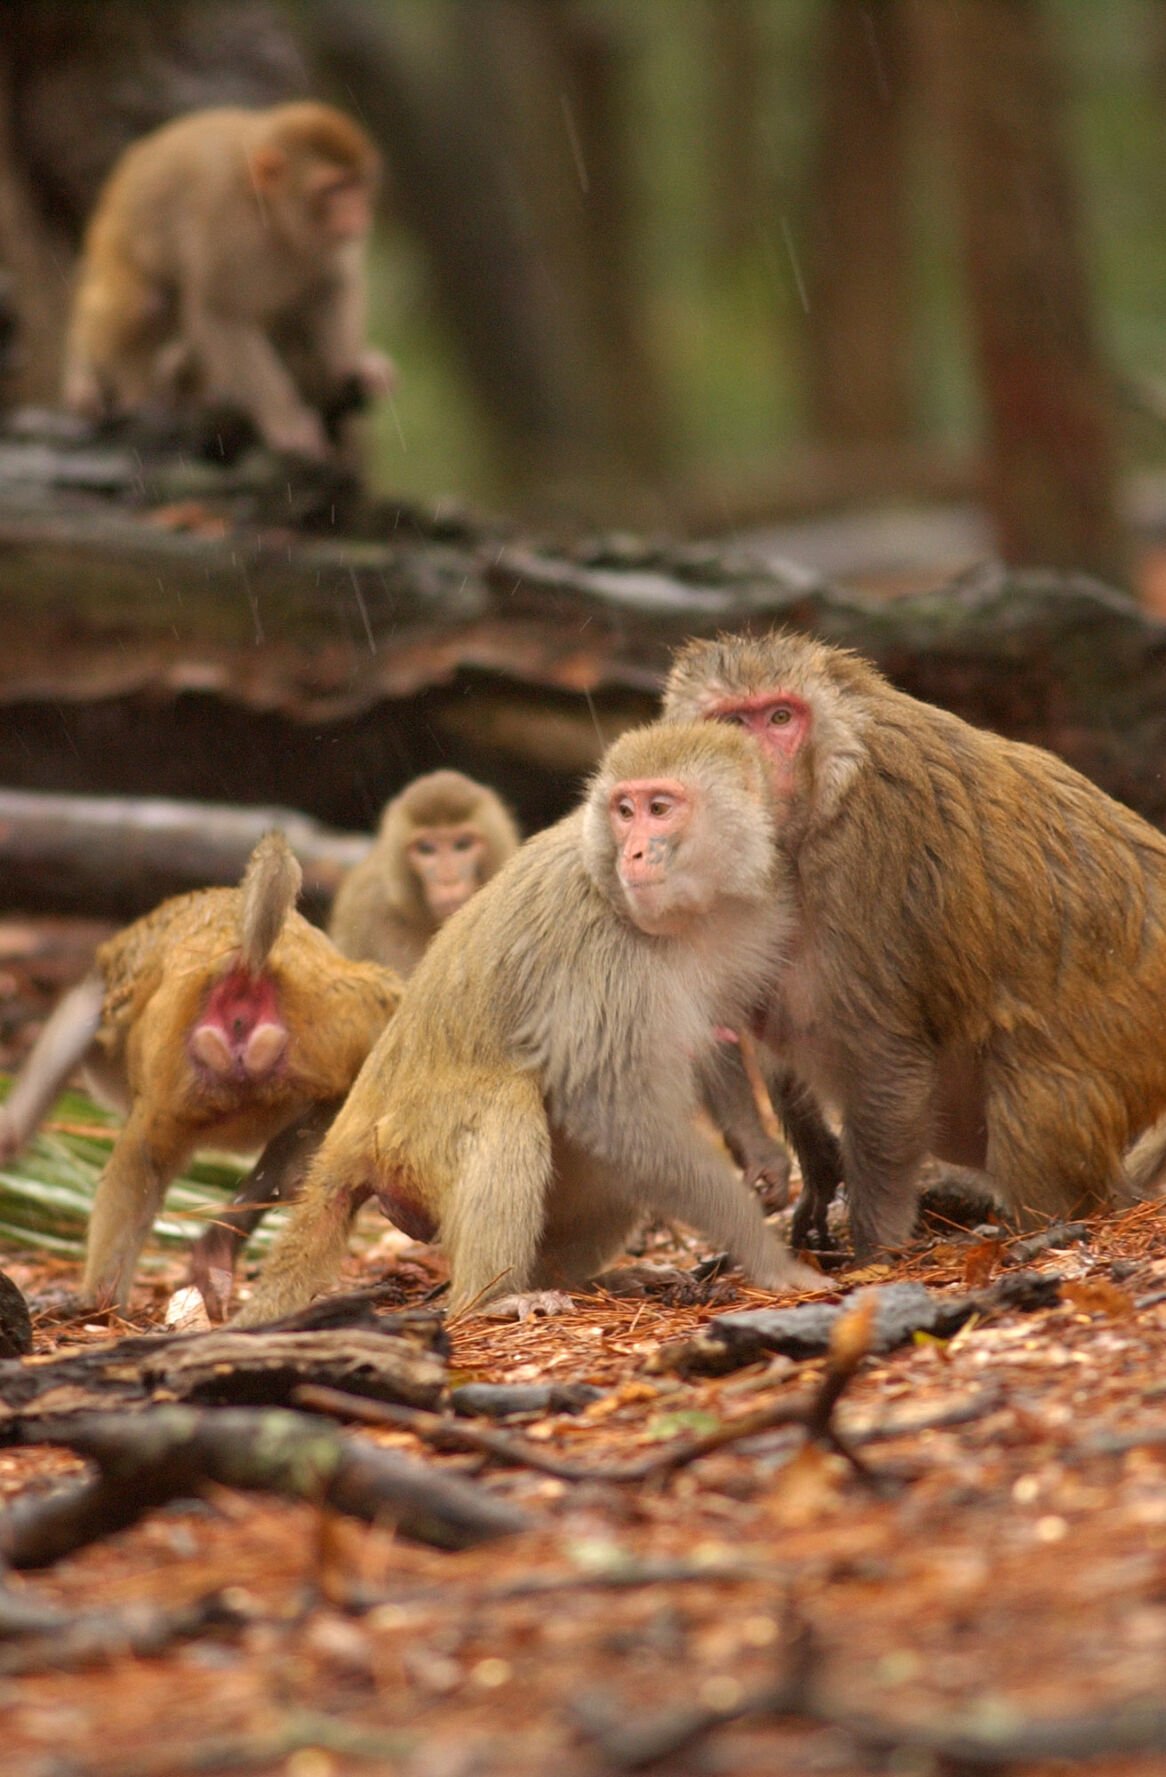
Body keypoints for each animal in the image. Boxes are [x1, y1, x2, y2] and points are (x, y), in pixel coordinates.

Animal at [0, 833, 401, 1314]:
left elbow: (83, 1013)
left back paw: (101, 1301)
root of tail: (249, 964)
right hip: (334, 1019)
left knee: (140, 1157)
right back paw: (219, 1247)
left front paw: (10, 1135)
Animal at [62, 102, 395, 460]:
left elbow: (333, 287)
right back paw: (91, 378)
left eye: (357, 184)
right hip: (113, 245)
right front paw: (286, 422)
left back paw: (181, 387)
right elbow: (219, 312)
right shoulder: (225, 224)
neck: (274, 217)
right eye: (333, 189)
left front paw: (355, 363)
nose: (359, 214)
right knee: (143, 301)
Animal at [662, 627, 1166, 1260]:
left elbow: (885, 1053)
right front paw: (809, 1166)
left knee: (1037, 1093)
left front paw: (875, 1254)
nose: (756, 768)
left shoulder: (866, 849)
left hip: (1126, 1038)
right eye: (732, 722)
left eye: (779, 718)